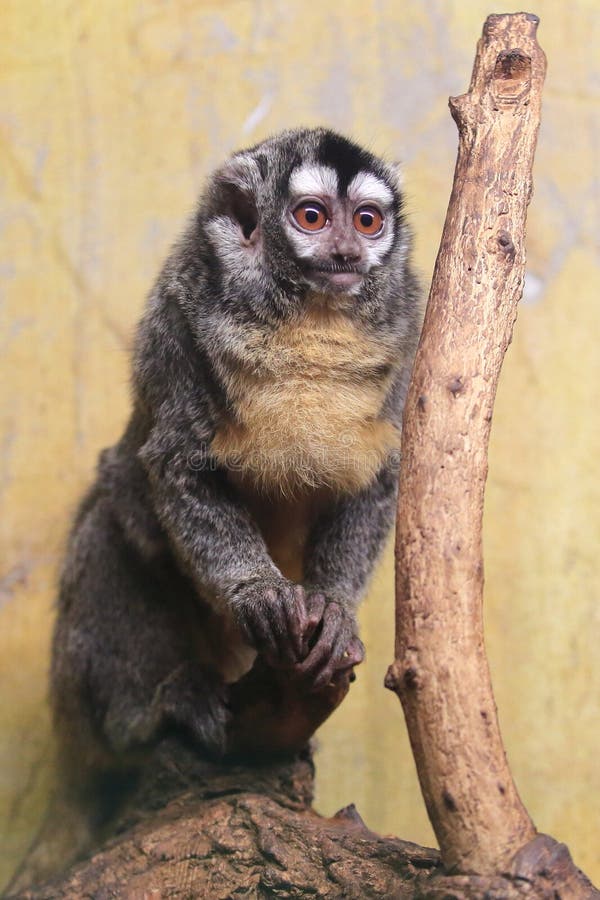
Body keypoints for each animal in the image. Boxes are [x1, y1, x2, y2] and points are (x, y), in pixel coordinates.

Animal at [8, 128, 422, 892]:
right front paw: (258, 594)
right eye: (313, 217)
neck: (308, 319)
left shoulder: (407, 343)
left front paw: (334, 612)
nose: (348, 254)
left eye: (368, 220)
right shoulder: (177, 323)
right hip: (87, 691)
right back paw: (154, 710)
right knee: (113, 527)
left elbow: (375, 482)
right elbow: (178, 467)